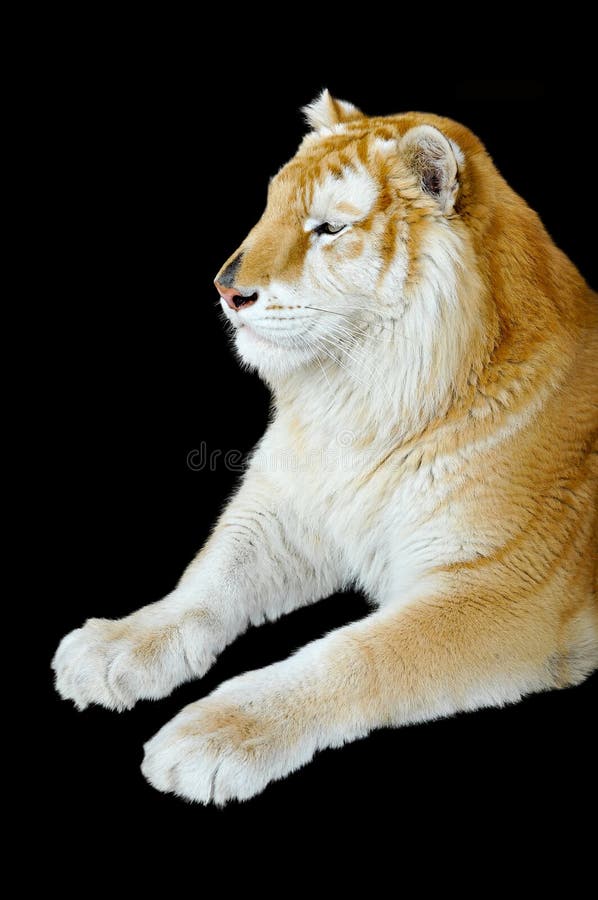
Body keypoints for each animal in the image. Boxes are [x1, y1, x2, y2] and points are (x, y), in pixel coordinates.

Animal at [53, 90, 598, 804]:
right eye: (270, 208)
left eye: (329, 229)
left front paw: (214, 734)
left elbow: (357, 656)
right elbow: (208, 578)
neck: (361, 406)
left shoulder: (507, 591)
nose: (227, 290)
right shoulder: (291, 508)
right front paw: (114, 649)